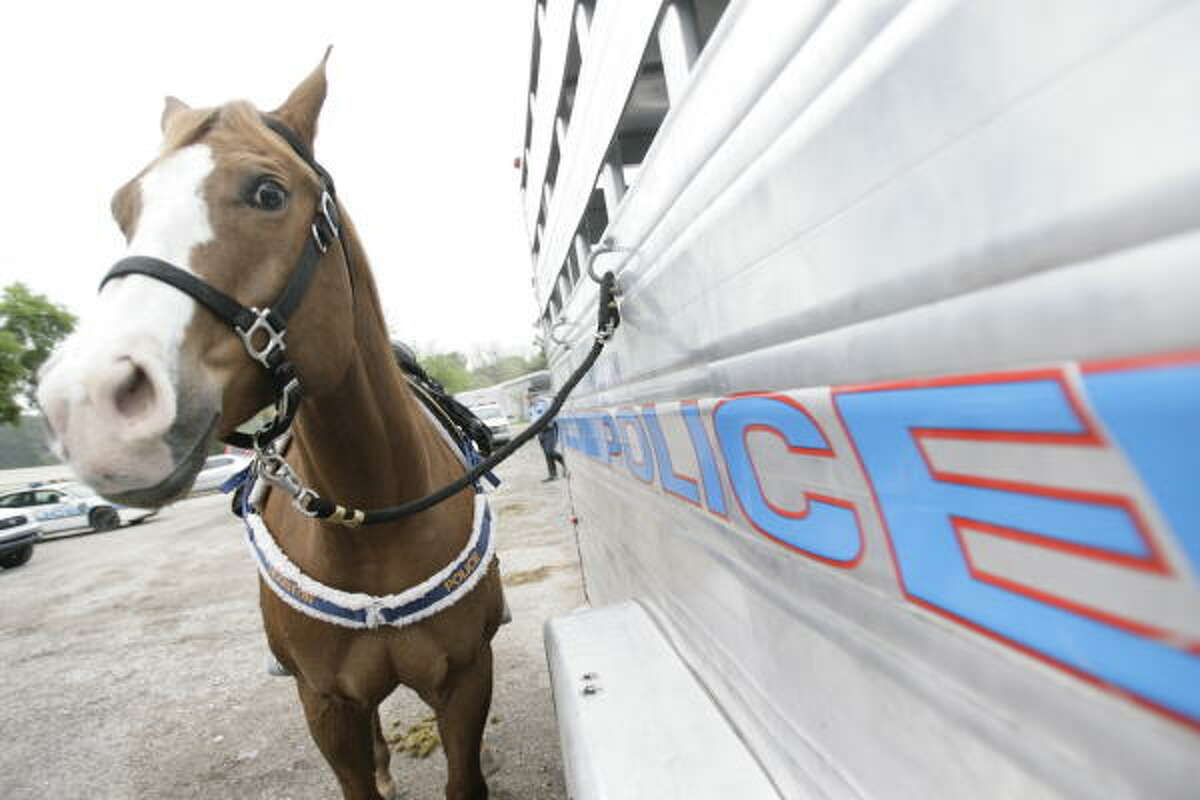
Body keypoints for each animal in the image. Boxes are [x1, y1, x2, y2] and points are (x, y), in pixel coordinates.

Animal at [36, 54, 505, 800]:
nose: (90, 403)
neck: (371, 525)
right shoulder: (325, 704)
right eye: (122, 209)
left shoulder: (464, 684)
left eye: (267, 193)